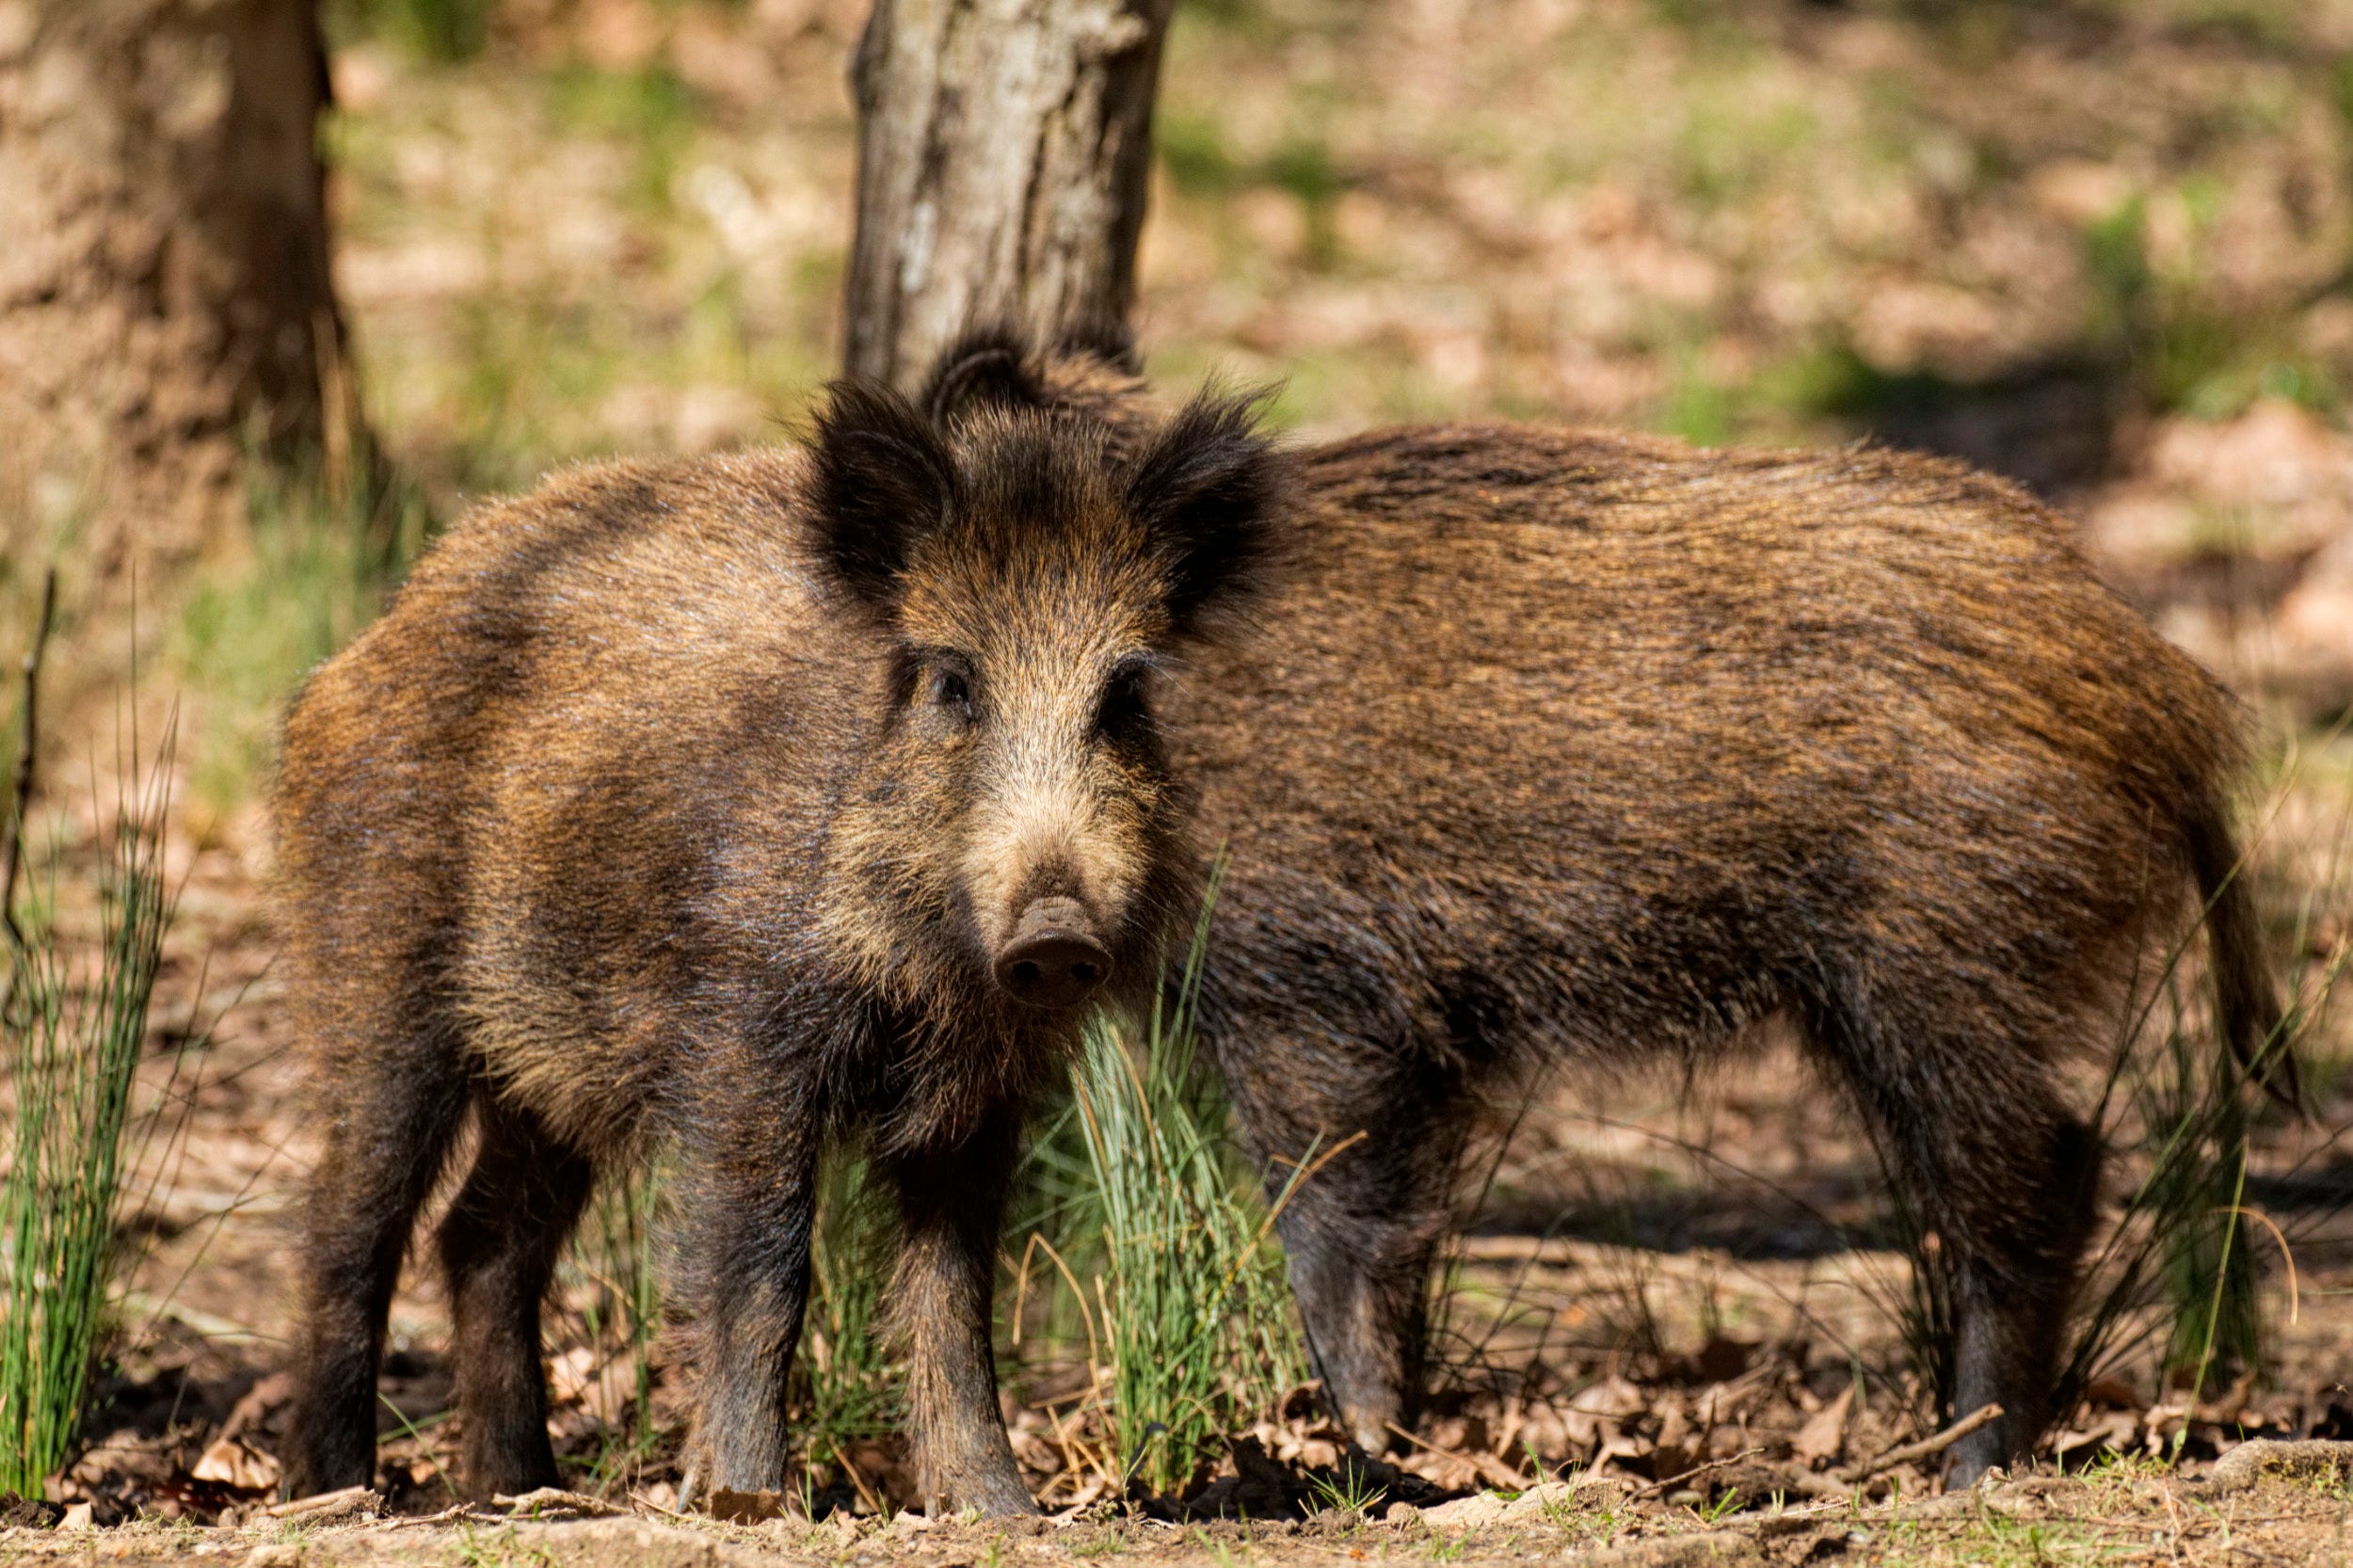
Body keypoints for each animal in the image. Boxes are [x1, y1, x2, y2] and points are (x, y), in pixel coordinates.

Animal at [271, 341, 1289, 1515]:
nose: (1053, 934)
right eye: (952, 681)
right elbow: (765, 1266)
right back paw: (336, 1489)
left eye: (1123, 695)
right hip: (374, 971)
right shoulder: (743, 1044)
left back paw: (521, 1489)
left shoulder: (979, 1097)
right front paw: (748, 1499)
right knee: (347, 1222)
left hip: (551, 1064)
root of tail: (357, 650)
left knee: (483, 1234)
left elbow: (956, 1294)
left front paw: (1000, 1507)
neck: (928, 972)